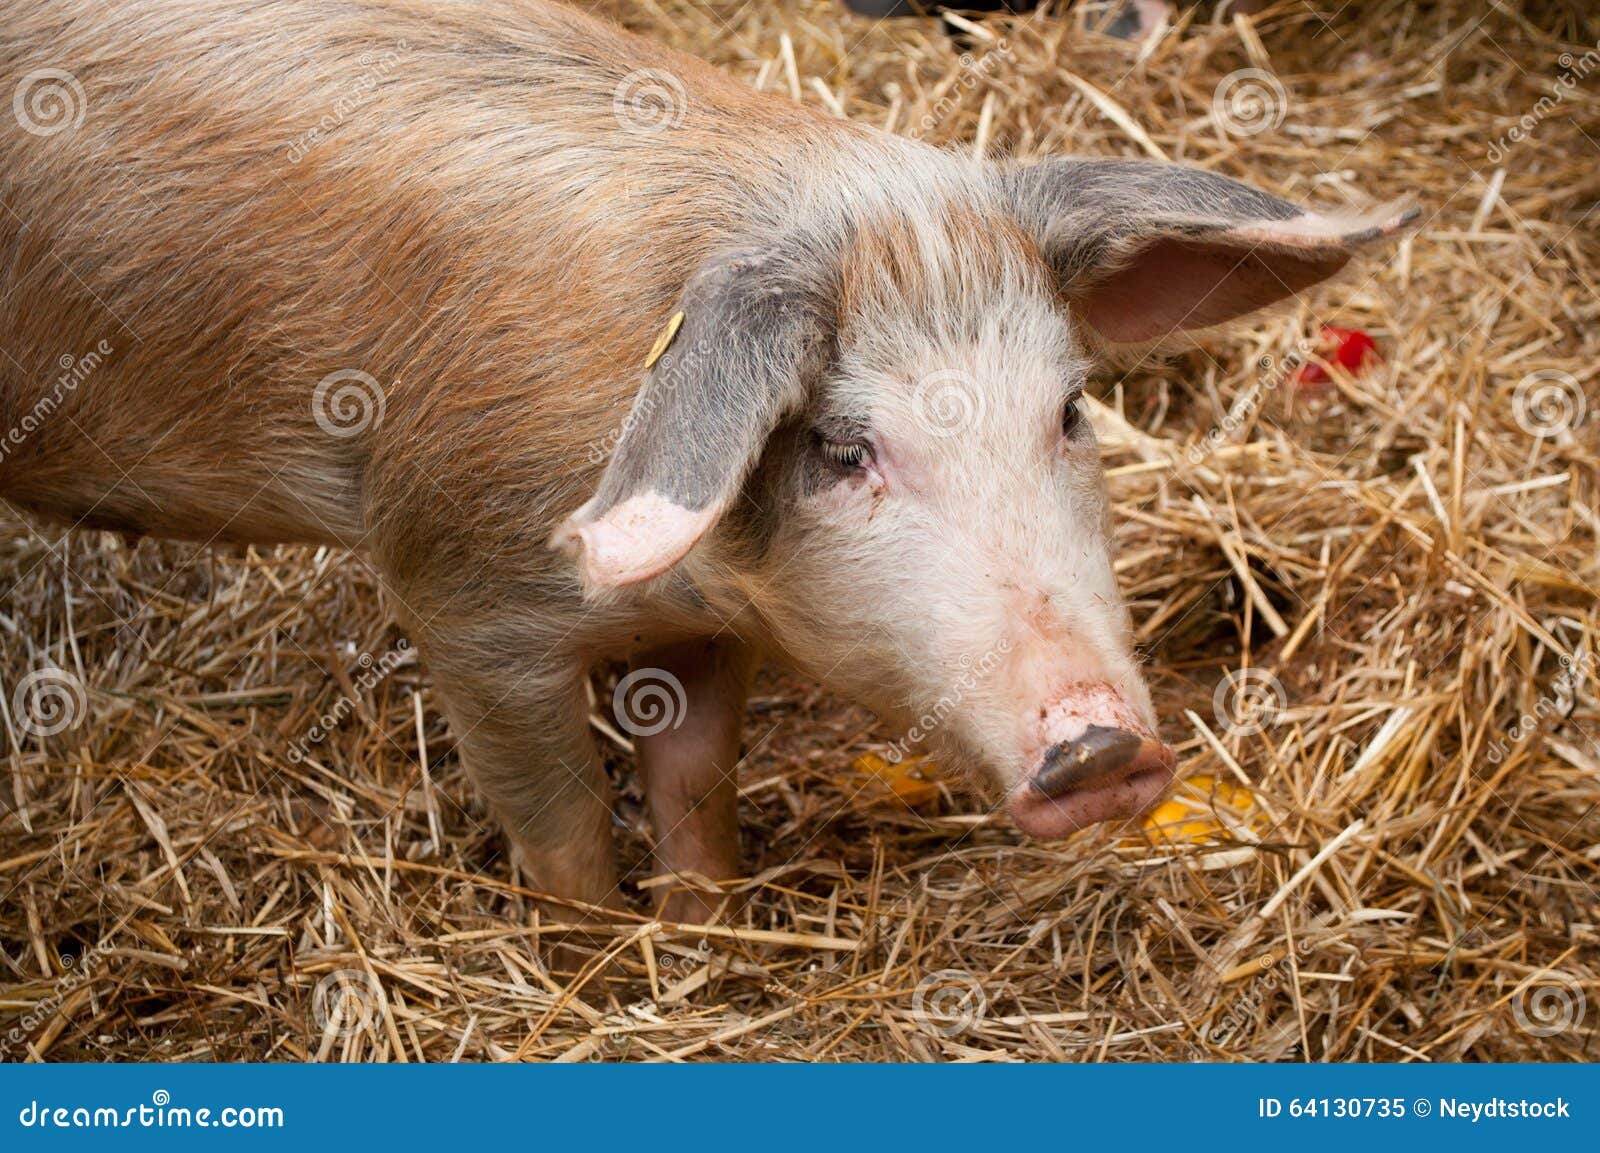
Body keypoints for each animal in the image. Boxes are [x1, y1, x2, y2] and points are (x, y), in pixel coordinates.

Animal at [0, 0, 1413, 926]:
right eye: (840, 449)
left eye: (1068, 410)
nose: (1102, 748)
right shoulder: (459, 592)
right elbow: (562, 828)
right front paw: (588, 957)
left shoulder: (707, 631)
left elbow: (695, 786)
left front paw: (704, 927)